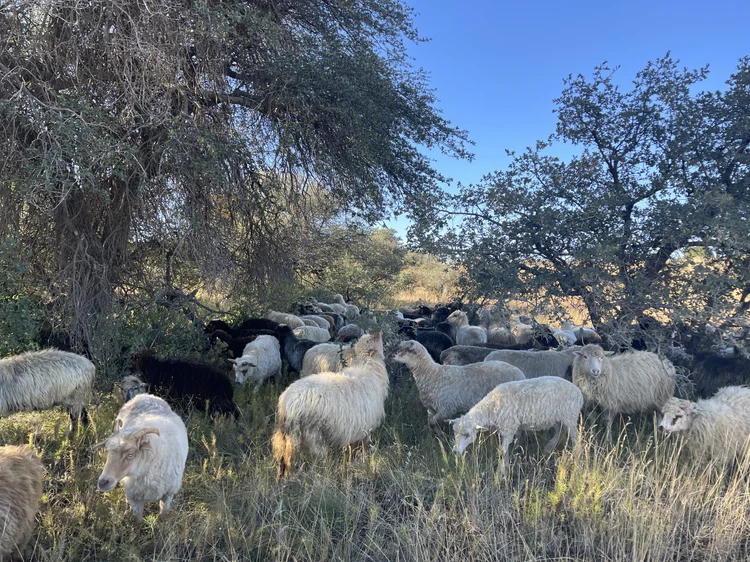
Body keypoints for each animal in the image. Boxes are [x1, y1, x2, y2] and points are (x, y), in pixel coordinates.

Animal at [95, 394, 188, 523]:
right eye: (107, 451)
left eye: (130, 454)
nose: (103, 482)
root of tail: (145, 395)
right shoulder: (134, 498)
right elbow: (138, 522)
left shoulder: (169, 494)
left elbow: (162, 516)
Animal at [272, 331, 388, 478]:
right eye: (372, 339)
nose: (378, 330)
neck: (367, 367)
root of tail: (288, 402)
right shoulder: (365, 427)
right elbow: (363, 447)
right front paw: (362, 463)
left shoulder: (354, 427)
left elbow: (352, 448)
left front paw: (351, 463)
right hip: (312, 436)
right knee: (292, 460)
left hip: (285, 435)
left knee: (282, 458)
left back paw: (280, 479)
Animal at [390, 340, 525, 428]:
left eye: (408, 350)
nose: (389, 355)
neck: (432, 374)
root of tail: (519, 373)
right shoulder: (431, 409)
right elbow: (431, 423)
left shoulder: (446, 409)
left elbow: (433, 422)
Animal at [451, 377, 583, 473]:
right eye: (454, 433)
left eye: (467, 435)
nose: (455, 452)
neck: (492, 406)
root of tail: (578, 391)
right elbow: (508, 449)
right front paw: (506, 467)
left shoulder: (509, 427)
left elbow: (502, 451)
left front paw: (501, 472)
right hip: (556, 419)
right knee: (560, 432)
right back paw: (548, 449)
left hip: (570, 417)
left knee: (576, 440)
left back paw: (576, 460)